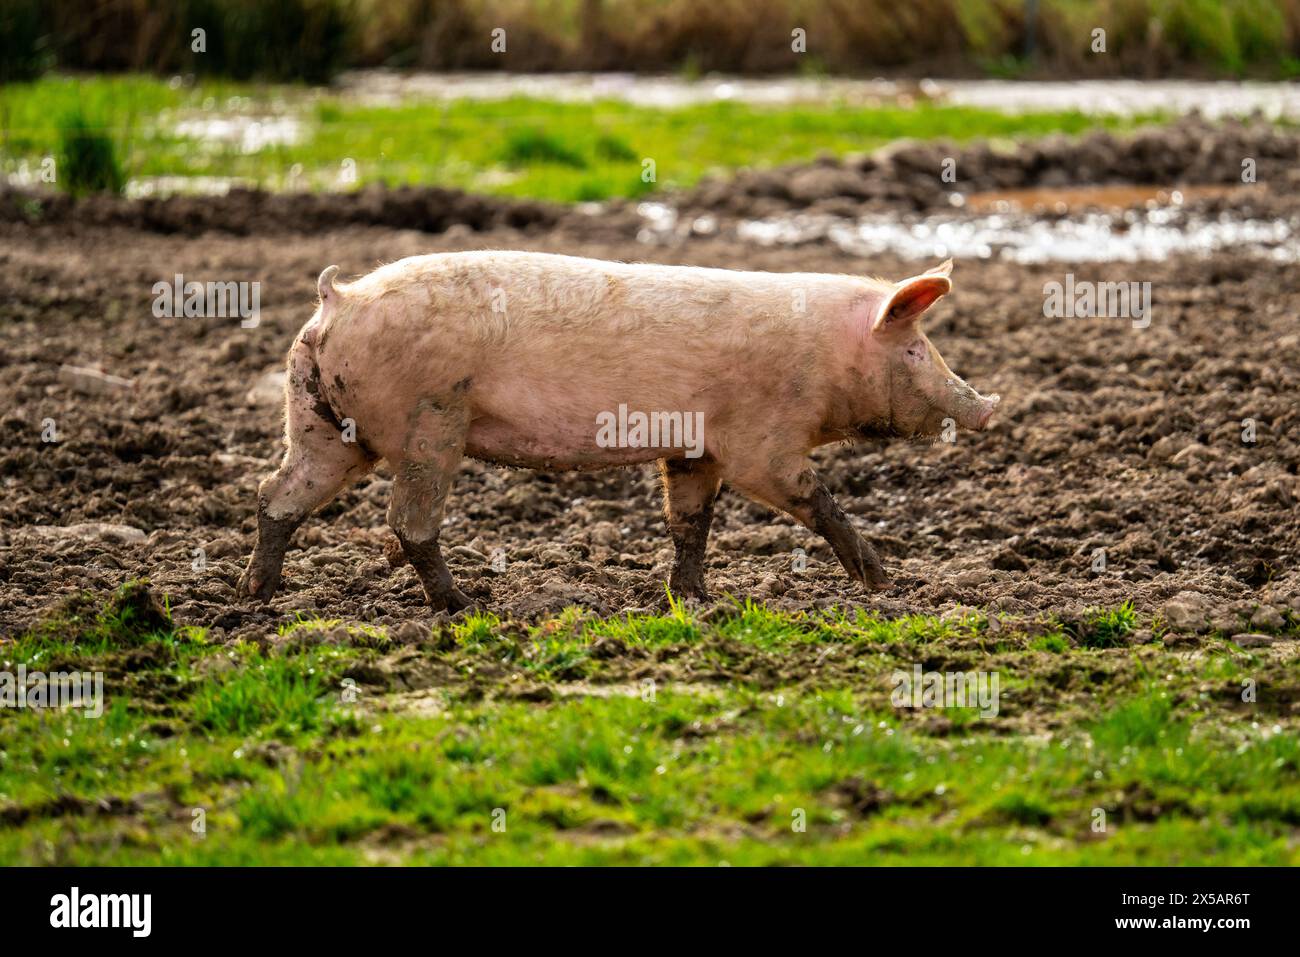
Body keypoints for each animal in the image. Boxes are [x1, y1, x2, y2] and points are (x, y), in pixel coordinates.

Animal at [237, 252, 998, 610]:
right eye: (914, 350)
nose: (987, 406)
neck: (827, 362)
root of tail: (338, 299)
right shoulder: (761, 440)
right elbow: (815, 499)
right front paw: (883, 582)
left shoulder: (695, 447)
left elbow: (690, 520)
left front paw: (692, 599)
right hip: (431, 421)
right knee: (407, 520)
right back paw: (464, 603)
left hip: (324, 423)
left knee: (276, 492)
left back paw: (256, 595)